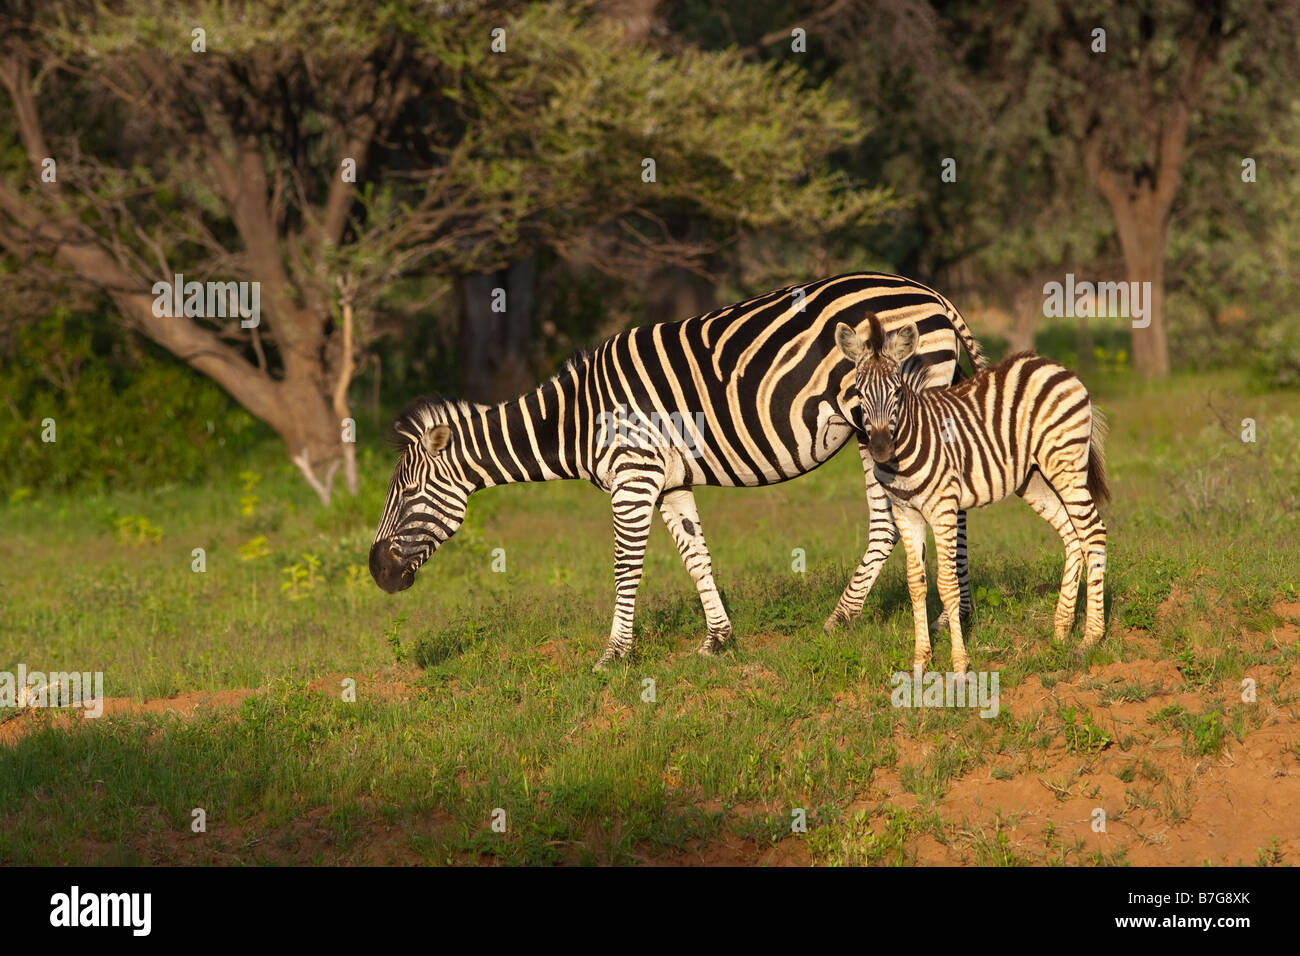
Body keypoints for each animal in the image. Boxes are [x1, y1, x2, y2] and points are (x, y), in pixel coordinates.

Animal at [370, 272, 988, 670]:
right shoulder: (669, 483)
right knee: (946, 509)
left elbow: (626, 568)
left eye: (406, 493)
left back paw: (850, 618)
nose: (377, 571)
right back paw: (949, 614)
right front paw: (718, 640)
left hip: (888, 419)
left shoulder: (633, 478)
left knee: (897, 521)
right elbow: (696, 558)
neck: (577, 419)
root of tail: (929, 292)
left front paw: (614, 655)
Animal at [834, 313, 1109, 674]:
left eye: (896, 392)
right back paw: (1062, 629)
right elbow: (916, 584)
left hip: (1066, 464)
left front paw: (959, 663)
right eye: (859, 392)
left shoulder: (943, 508)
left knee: (1093, 532)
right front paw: (921, 660)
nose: (880, 448)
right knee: (1072, 534)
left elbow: (948, 585)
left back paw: (1091, 637)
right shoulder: (906, 513)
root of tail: (1053, 365)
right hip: (1033, 478)